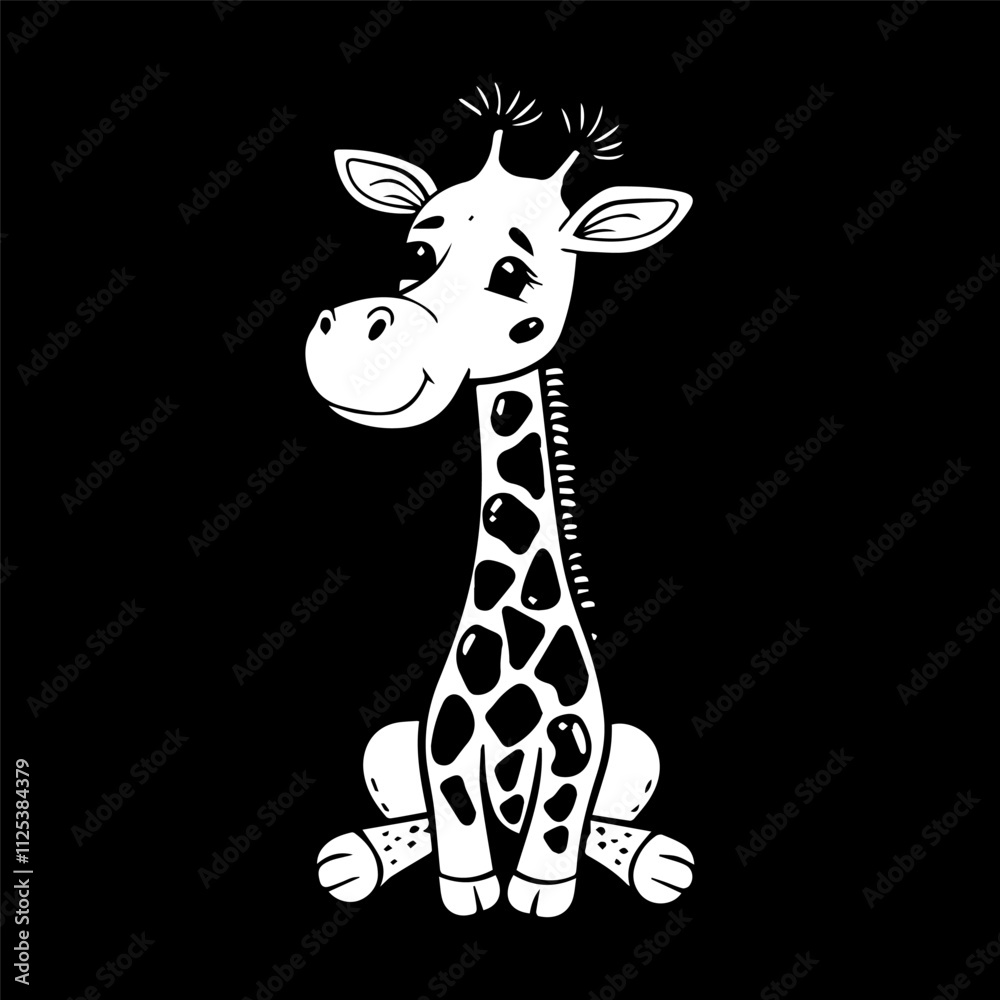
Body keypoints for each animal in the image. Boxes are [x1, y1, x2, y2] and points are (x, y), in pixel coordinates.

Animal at [307, 94, 695, 917]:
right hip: (389, 747)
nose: (355, 340)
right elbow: (453, 815)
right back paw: (358, 857)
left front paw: (541, 892)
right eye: (418, 255)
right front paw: (470, 891)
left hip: (636, 749)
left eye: (513, 273)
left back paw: (655, 859)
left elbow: (561, 820)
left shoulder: (578, 747)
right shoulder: (444, 742)